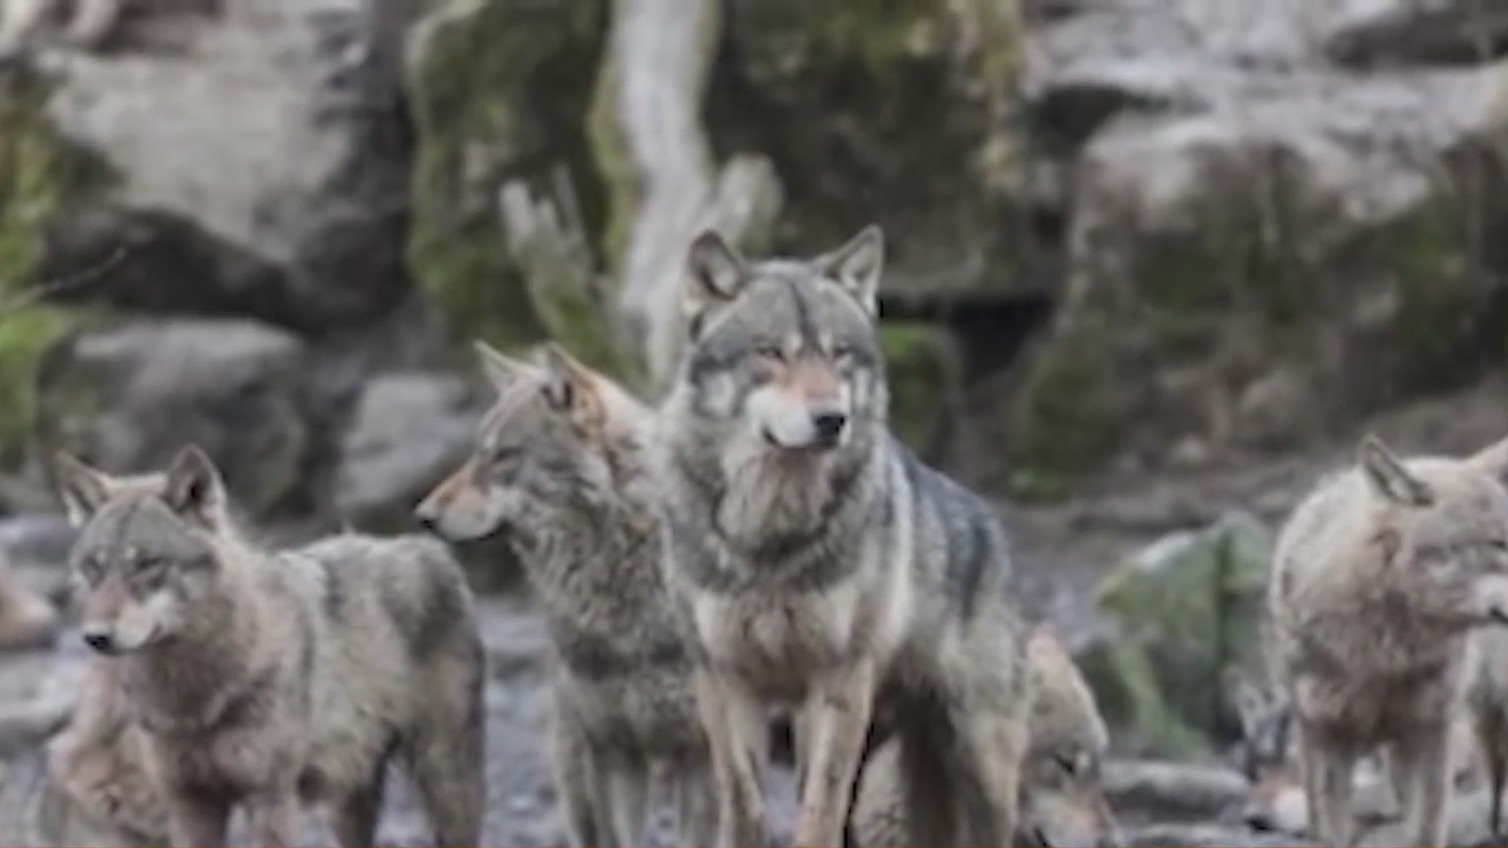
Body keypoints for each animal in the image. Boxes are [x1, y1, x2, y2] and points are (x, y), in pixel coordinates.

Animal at [50, 446, 486, 847]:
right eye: (94, 566)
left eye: (147, 564)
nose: (96, 637)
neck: (194, 695)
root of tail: (423, 547)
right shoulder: (189, 801)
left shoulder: (270, 798)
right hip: (348, 796)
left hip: (444, 777)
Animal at [652, 224, 1032, 847]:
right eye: (771, 352)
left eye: (838, 353)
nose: (831, 419)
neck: (770, 534)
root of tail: (991, 524)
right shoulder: (725, 678)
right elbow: (744, 802)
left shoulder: (836, 680)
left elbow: (819, 807)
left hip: (980, 763)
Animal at [1268, 432, 1508, 847]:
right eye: (1498, 544)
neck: (1385, 654)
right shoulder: (1322, 737)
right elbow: (1328, 833)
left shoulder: (1430, 734)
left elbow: (1427, 832)